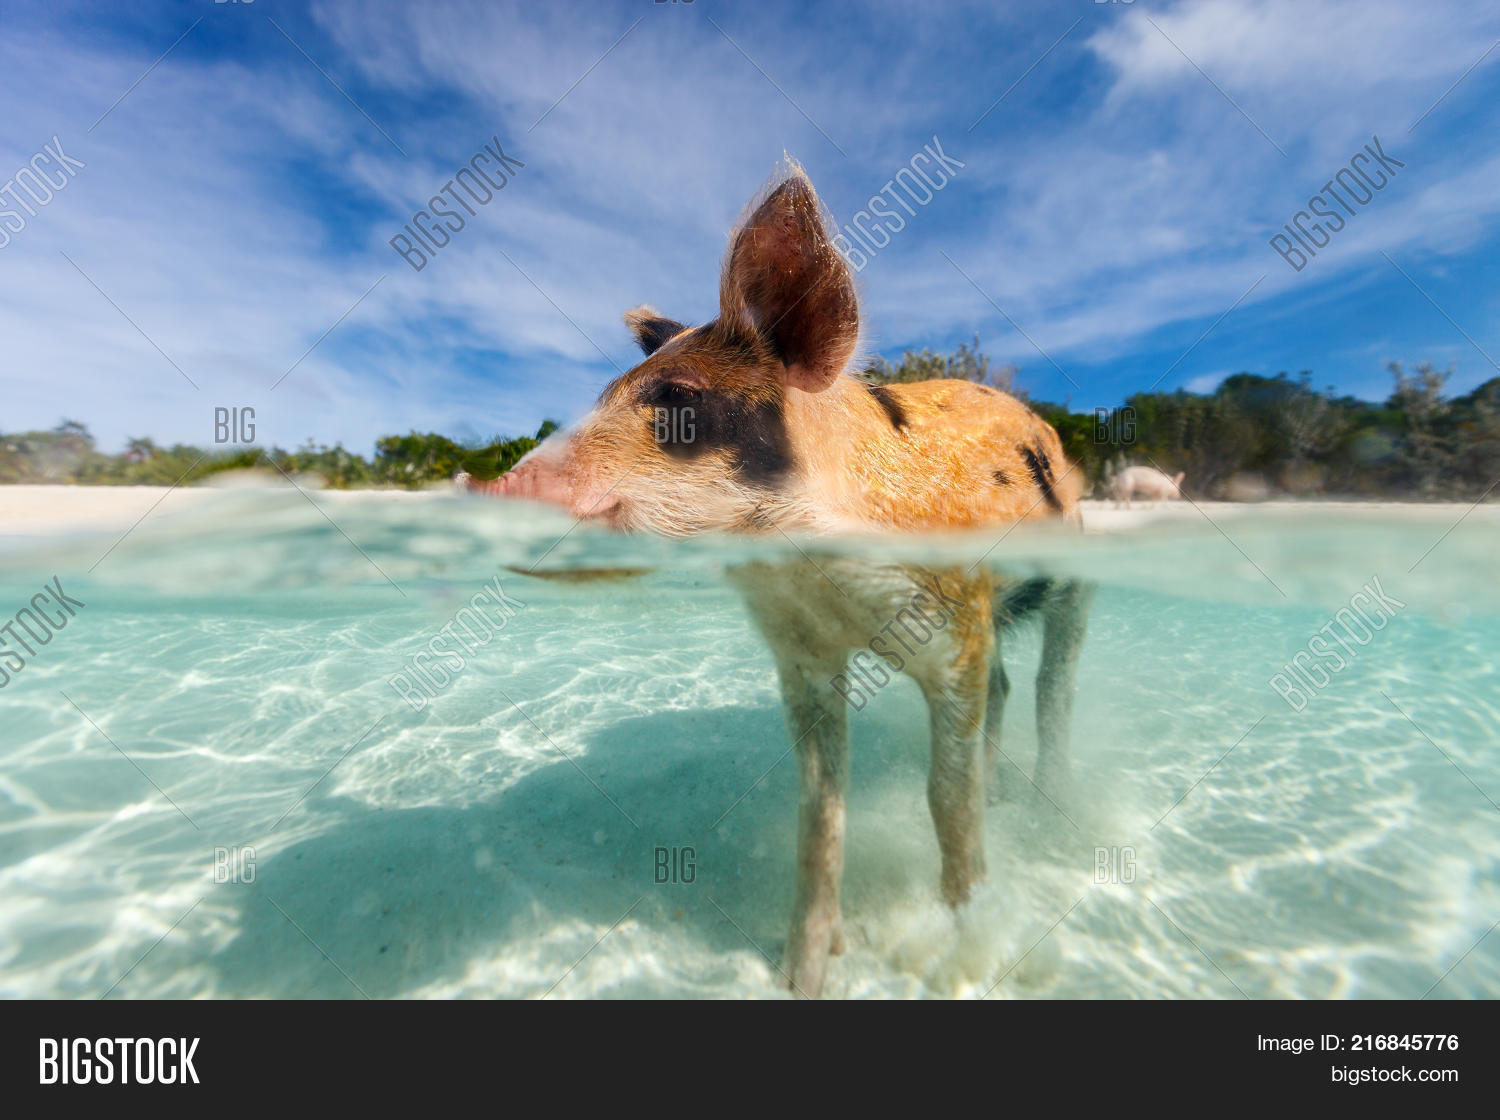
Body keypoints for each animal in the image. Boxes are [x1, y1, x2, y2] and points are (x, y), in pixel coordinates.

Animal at [462, 164, 1090, 997]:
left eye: (679, 400)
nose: (482, 488)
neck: (807, 573)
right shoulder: (802, 655)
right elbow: (820, 812)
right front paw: (803, 977)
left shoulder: (953, 619)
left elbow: (945, 801)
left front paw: (965, 953)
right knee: (1011, 688)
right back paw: (1007, 795)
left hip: (1075, 568)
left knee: (1053, 690)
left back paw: (1050, 814)